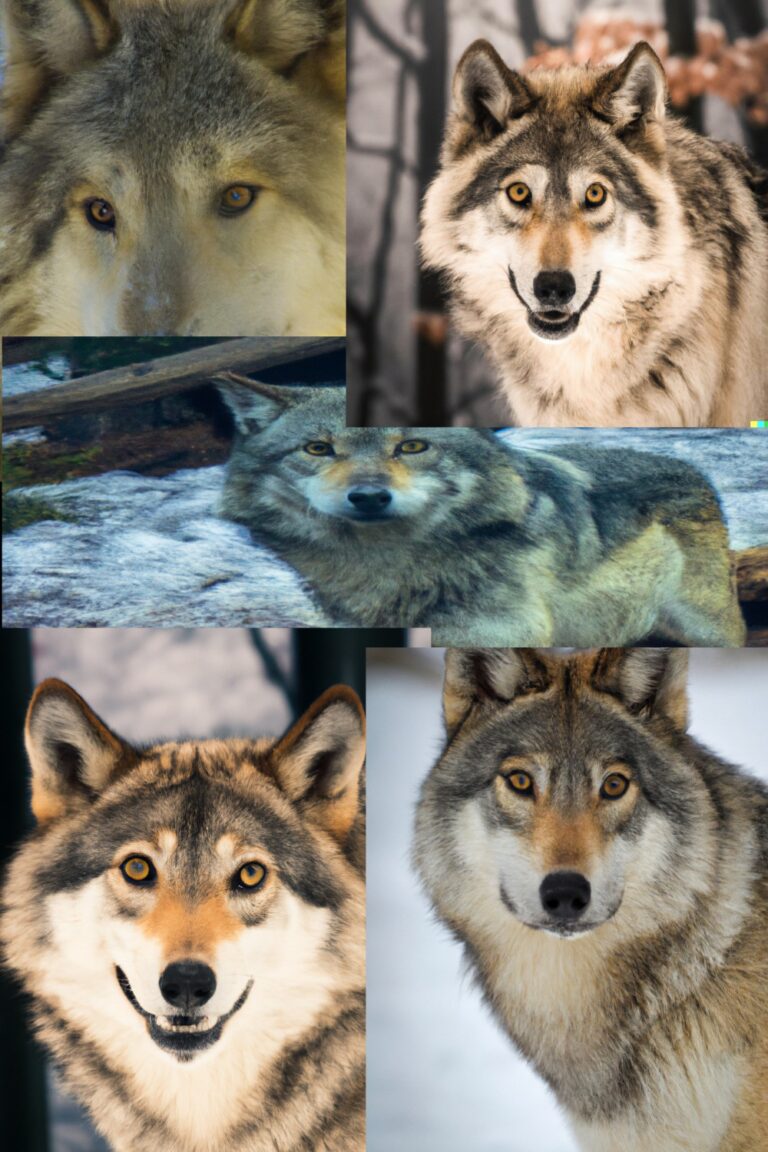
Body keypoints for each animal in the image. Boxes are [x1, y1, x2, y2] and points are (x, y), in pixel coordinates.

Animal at [215, 374, 745, 646]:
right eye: (318, 449)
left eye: (411, 446)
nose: (368, 497)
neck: (387, 567)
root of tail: (693, 470)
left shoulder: (504, 631)